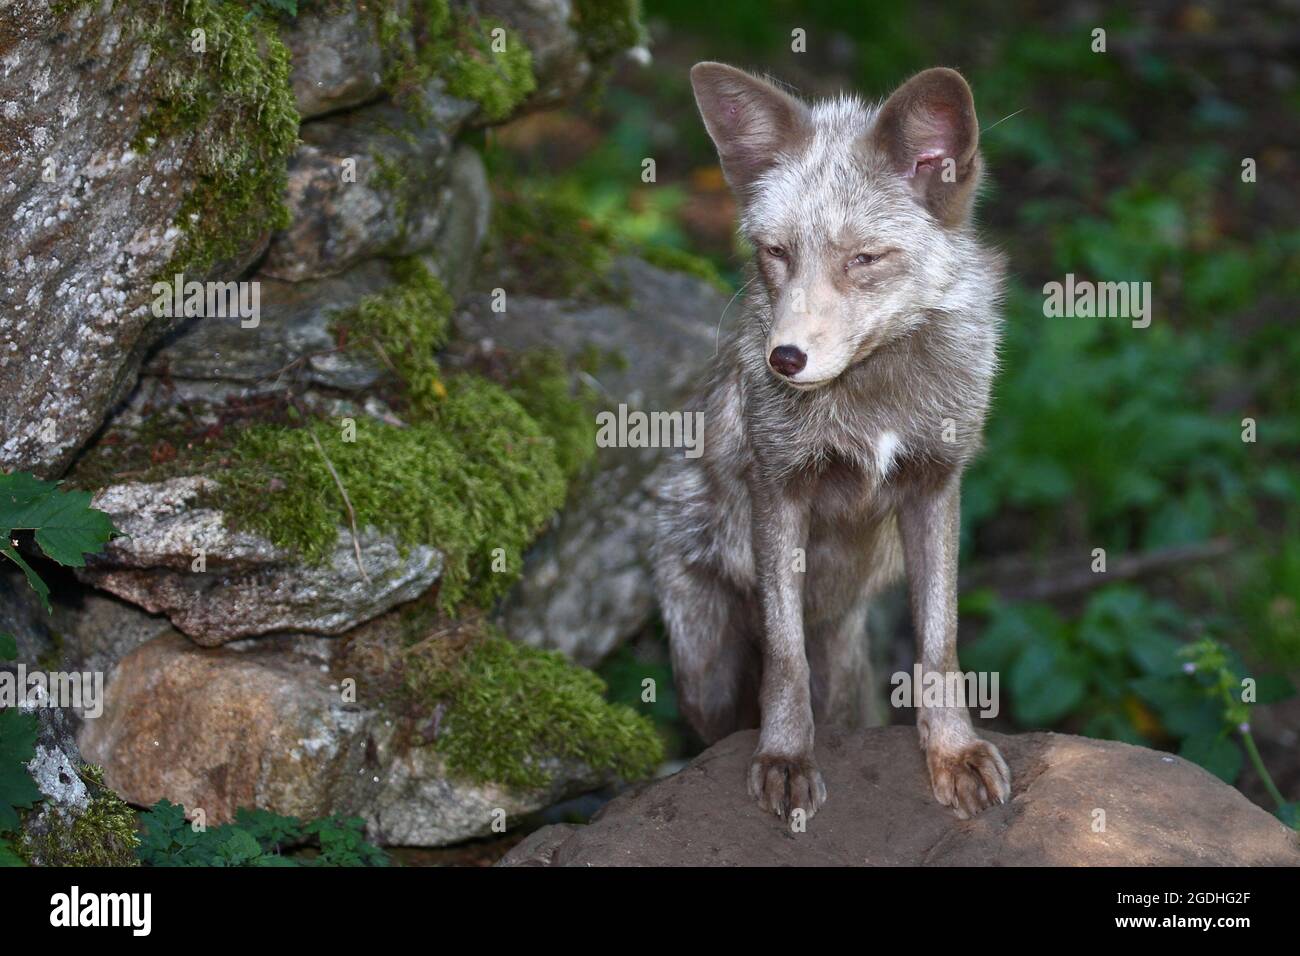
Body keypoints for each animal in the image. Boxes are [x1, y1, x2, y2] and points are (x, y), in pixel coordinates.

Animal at [652, 62, 1010, 821]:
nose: (783, 360)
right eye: (775, 253)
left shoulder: (936, 484)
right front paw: (786, 759)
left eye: (864, 259)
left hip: (845, 669)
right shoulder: (779, 488)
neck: (874, 405)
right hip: (704, 672)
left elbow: (941, 646)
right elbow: (785, 660)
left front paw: (952, 753)